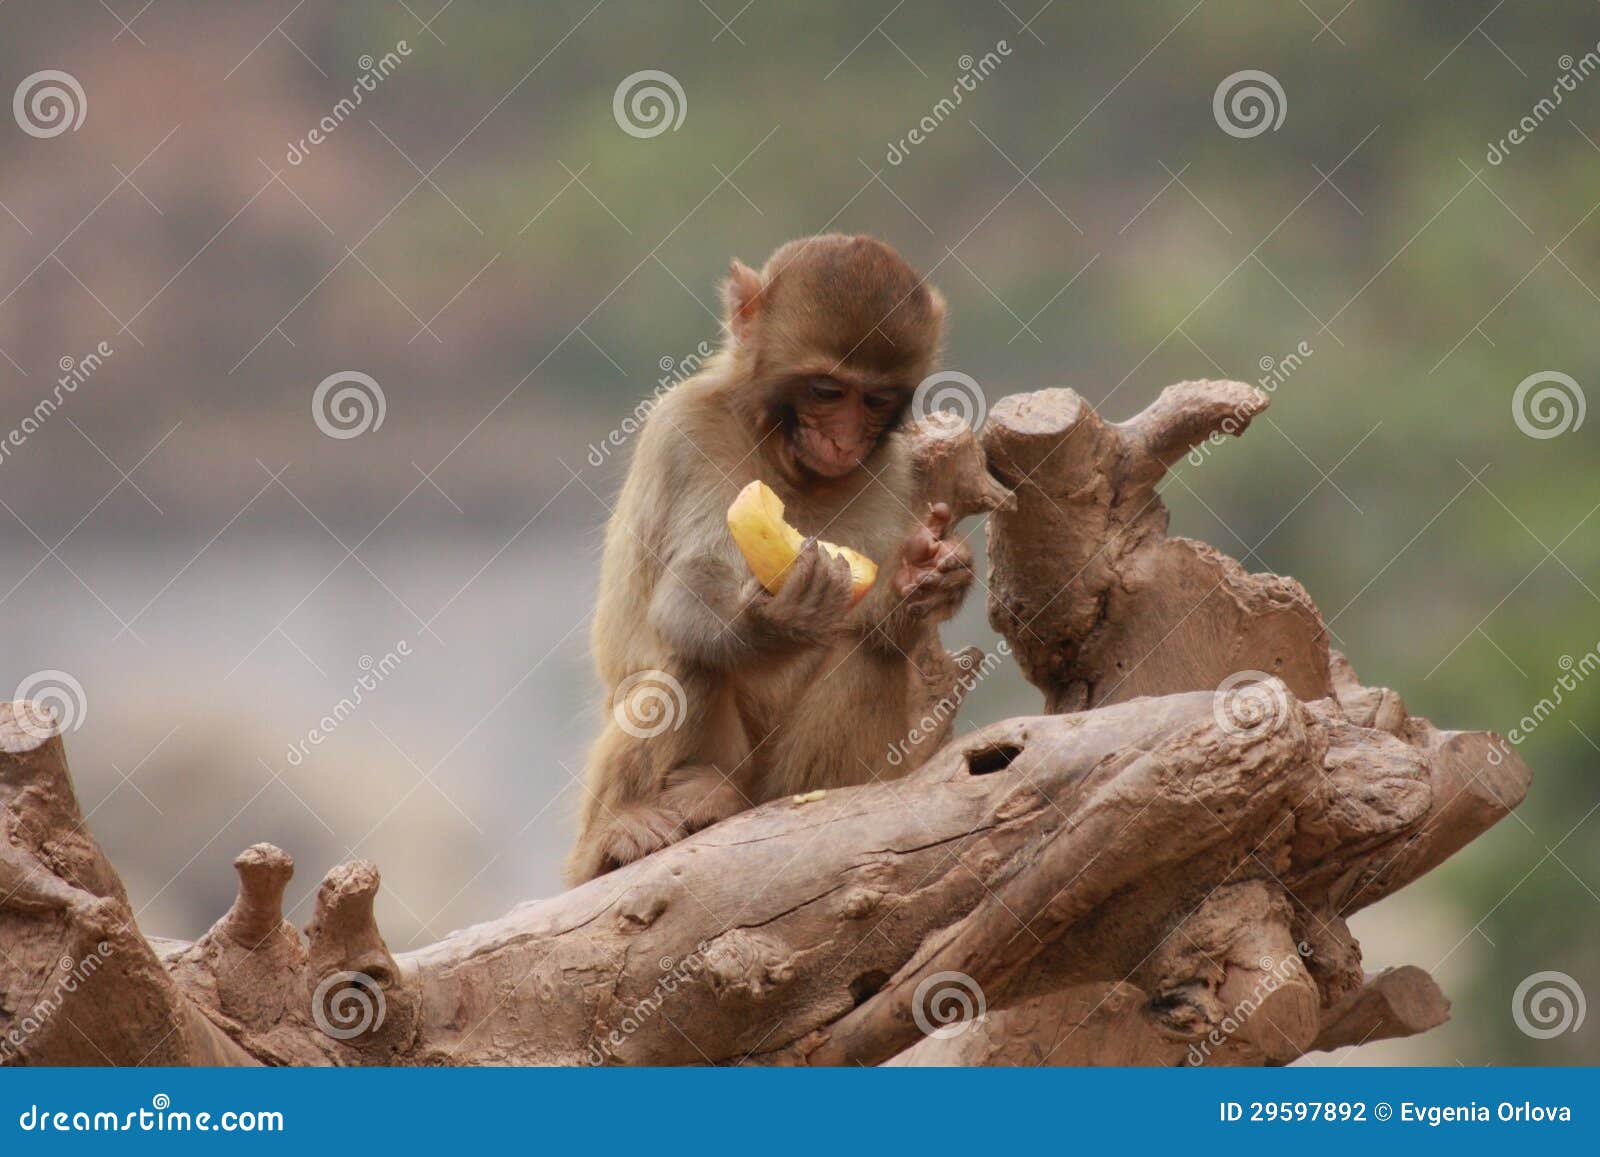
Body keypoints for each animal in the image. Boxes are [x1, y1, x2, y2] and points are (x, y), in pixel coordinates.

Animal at [567, 234, 973, 885]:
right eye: (827, 391)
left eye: (875, 399)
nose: (843, 442)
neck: (784, 456)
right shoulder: (687, 429)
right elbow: (692, 586)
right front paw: (779, 621)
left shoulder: (893, 471)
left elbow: (882, 618)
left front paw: (925, 580)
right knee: (685, 660)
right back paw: (624, 831)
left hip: (782, 782)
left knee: (871, 652)